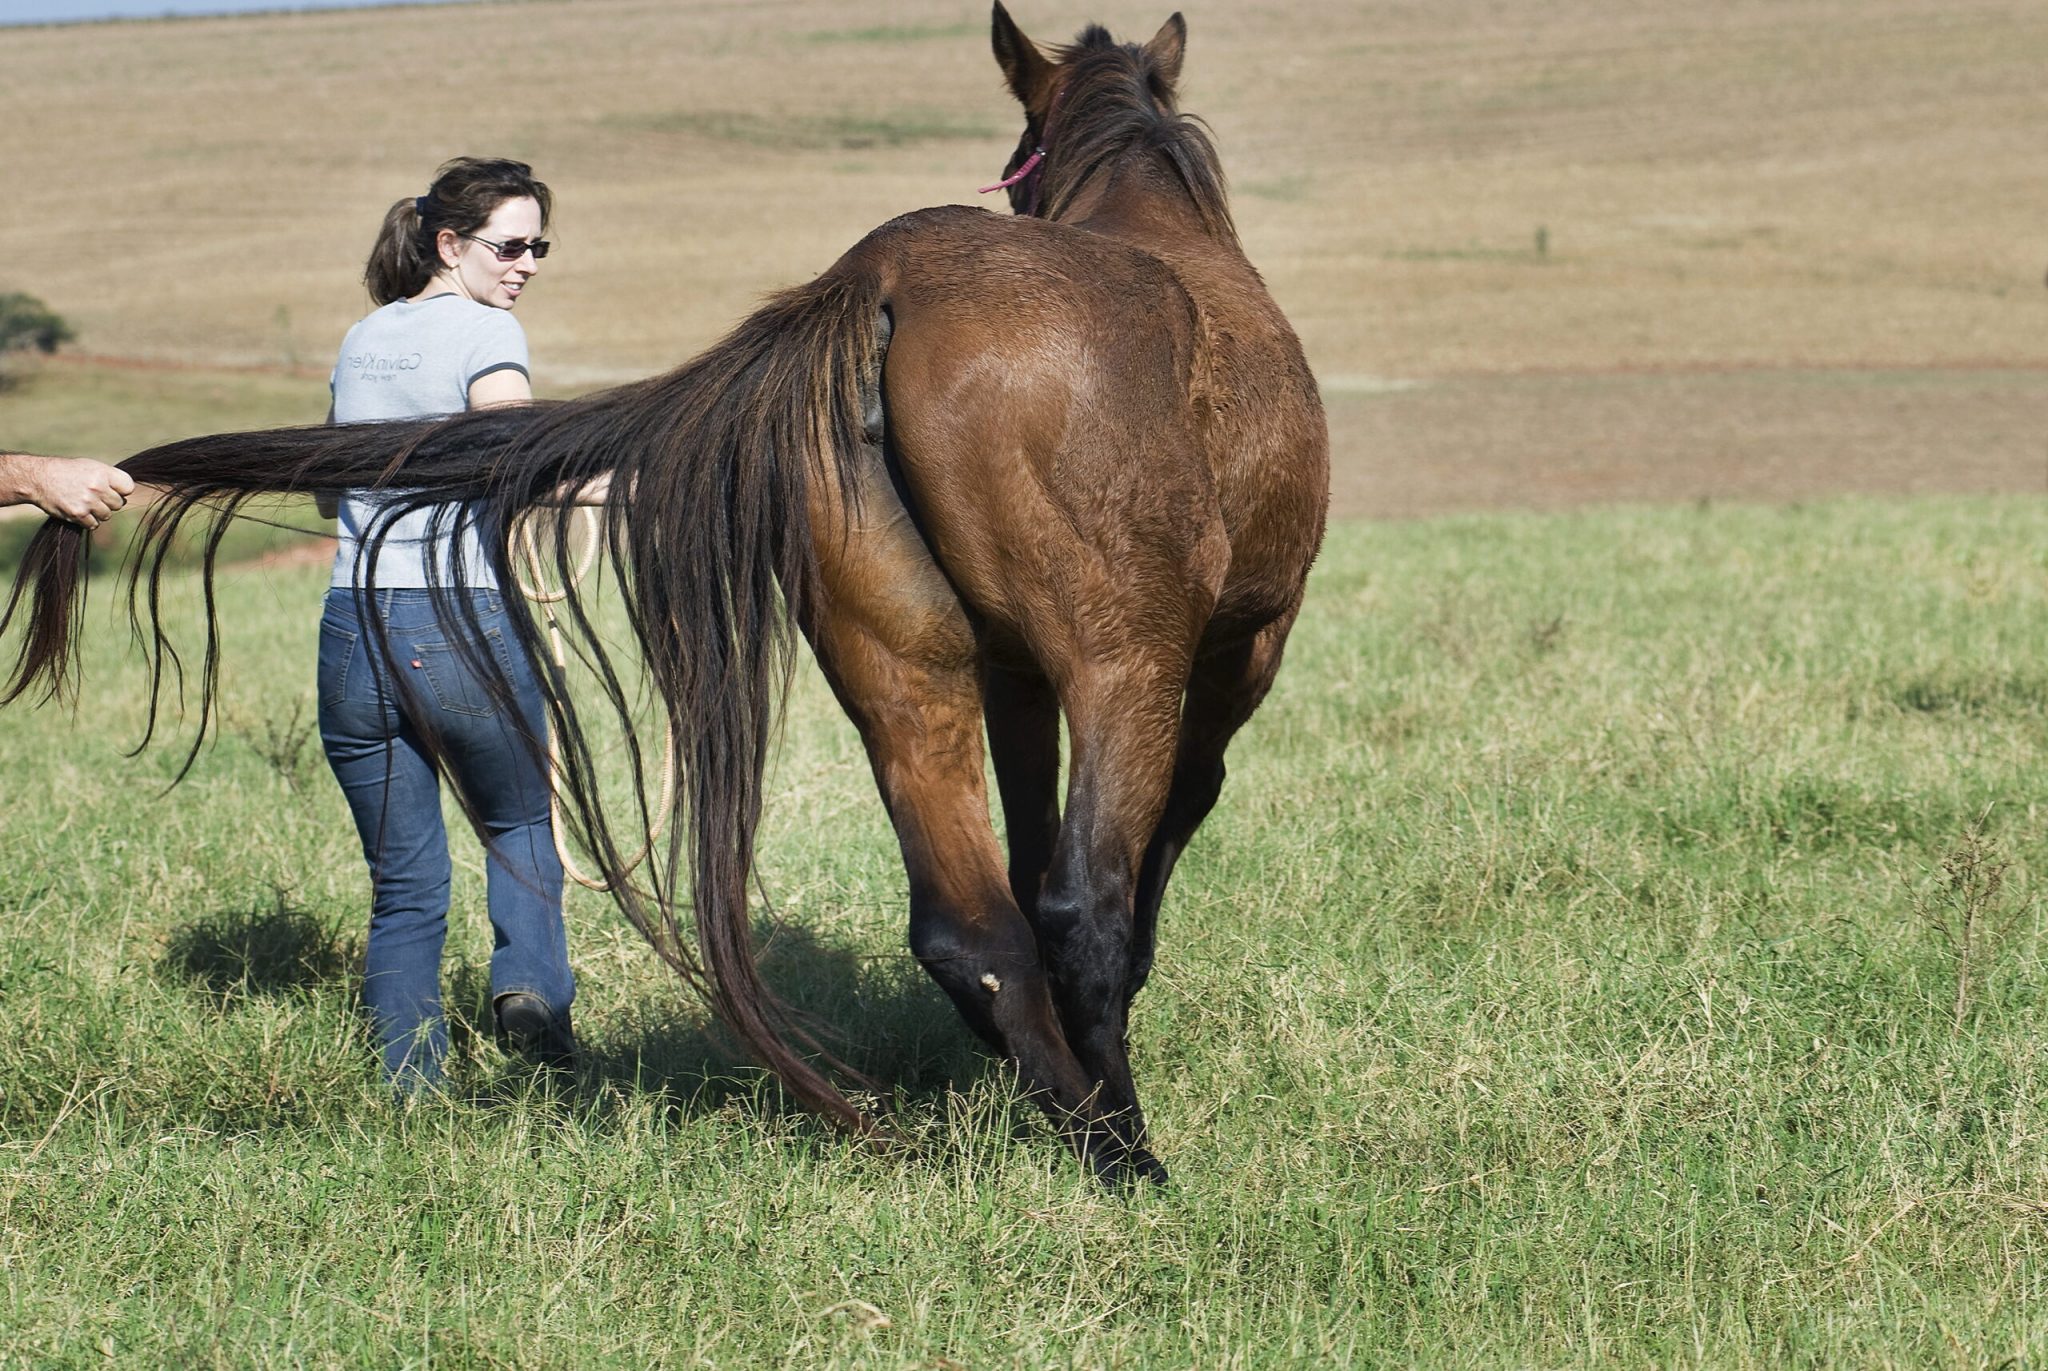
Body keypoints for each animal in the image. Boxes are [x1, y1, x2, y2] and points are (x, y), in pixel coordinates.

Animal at [1, 4, 1328, 1185]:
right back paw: (1124, 1153)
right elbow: (1161, 837)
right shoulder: (1232, 654)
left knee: (974, 926)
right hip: (1118, 662)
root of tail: (880, 281)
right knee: (1078, 906)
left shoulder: (1008, 677)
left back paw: (1062, 1113)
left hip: (908, 673)